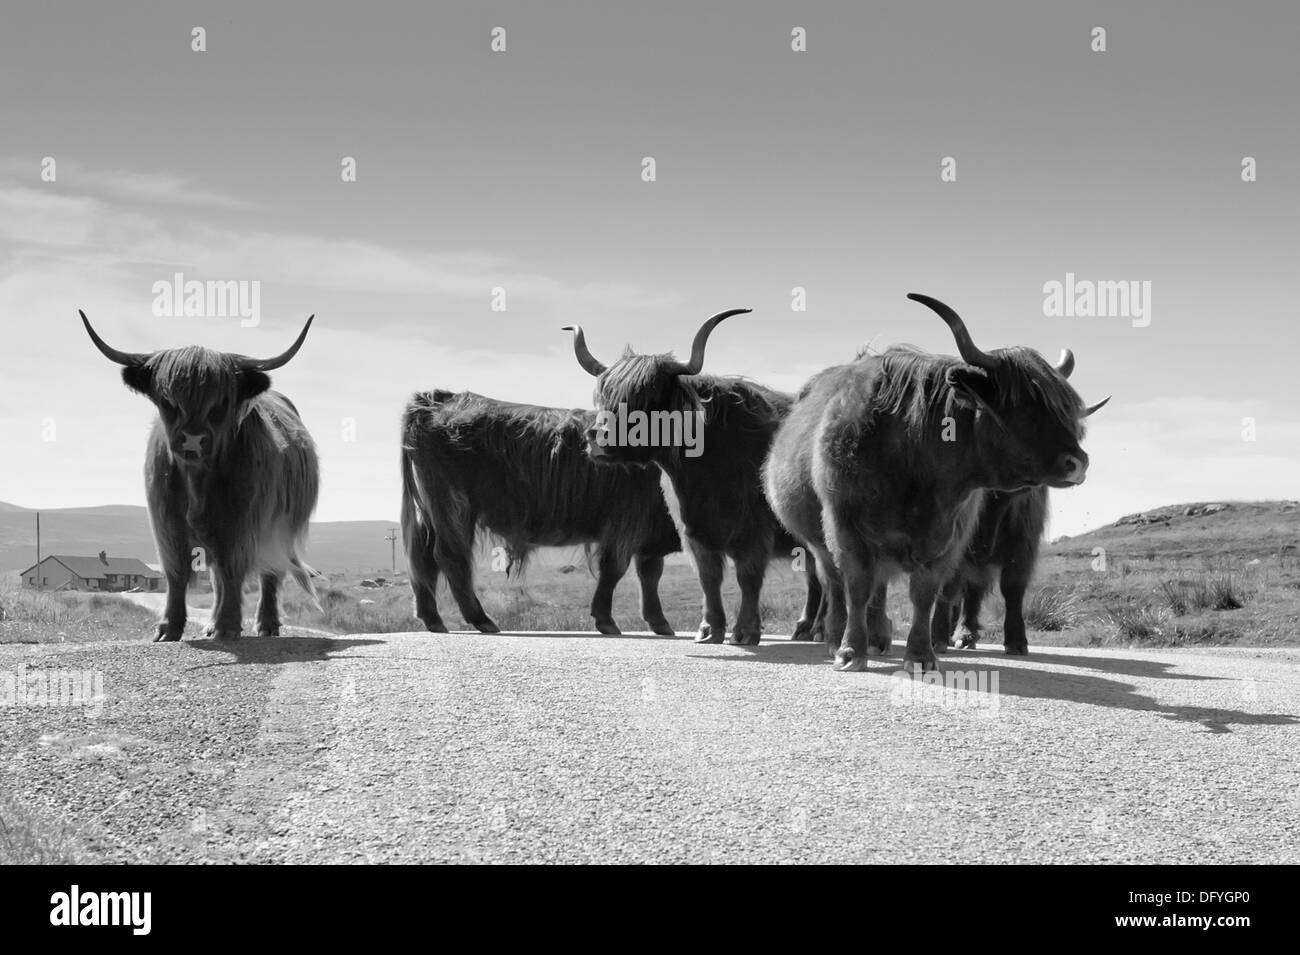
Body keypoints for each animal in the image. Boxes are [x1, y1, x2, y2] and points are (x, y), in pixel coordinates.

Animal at [80, 311, 320, 641]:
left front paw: (228, 626)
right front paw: (169, 628)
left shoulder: (242, 524)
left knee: (270, 572)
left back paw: (266, 624)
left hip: (279, 527)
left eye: (221, 403)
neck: (197, 481)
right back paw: (211, 624)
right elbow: (177, 573)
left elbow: (233, 570)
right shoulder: (167, 524)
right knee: (218, 576)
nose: (192, 439)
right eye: (167, 400)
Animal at [399, 390, 681, 635]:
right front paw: (606, 620)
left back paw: (432, 619)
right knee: (450, 557)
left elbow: (650, 575)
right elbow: (614, 571)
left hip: (433, 511)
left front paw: (659, 622)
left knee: (423, 556)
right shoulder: (626, 523)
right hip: (454, 506)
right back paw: (481, 619)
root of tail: (438, 398)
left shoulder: (648, 533)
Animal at [562, 309, 823, 646]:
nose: (597, 437)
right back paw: (806, 628)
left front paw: (744, 631)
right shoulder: (694, 533)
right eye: (604, 395)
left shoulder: (754, 530)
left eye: (649, 397)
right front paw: (710, 629)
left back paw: (822, 629)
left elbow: (748, 577)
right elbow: (708, 578)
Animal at [763, 293, 1108, 672]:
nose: (1078, 462)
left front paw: (920, 655)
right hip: (818, 542)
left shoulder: (950, 537)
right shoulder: (846, 527)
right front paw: (850, 651)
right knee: (835, 585)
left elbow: (925, 594)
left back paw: (880, 637)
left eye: (1064, 408)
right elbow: (857, 587)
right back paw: (834, 636)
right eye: (1021, 403)